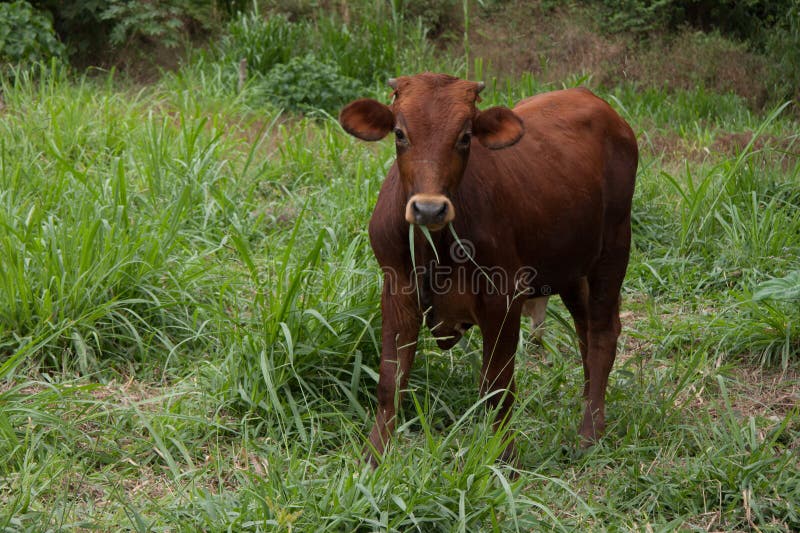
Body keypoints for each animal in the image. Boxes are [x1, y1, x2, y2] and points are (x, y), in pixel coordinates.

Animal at [339, 72, 638, 467]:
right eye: (400, 133)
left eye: (465, 136)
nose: (429, 209)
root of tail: (595, 101)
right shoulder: (397, 291)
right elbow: (391, 377)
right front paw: (374, 456)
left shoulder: (503, 297)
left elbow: (497, 385)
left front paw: (505, 458)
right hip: (571, 266)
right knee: (585, 331)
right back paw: (588, 406)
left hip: (615, 246)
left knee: (603, 333)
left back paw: (590, 432)